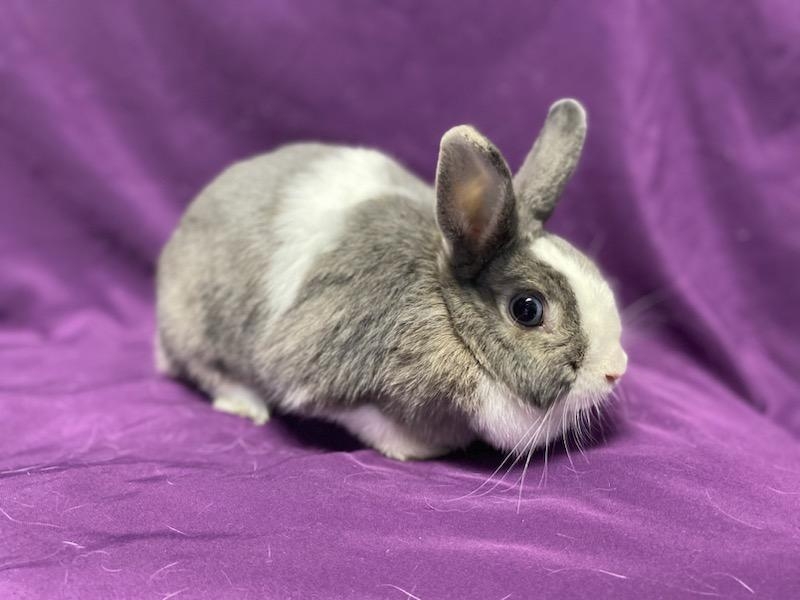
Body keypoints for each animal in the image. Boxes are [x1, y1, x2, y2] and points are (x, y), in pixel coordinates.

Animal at [155, 98, 627, 461]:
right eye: (527, 309)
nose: (616, 370)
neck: (445, 310)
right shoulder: (320, 369)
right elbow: (367, 418)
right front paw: (415, 448)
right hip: (200, 319)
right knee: (204, 366)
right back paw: (245, 403)